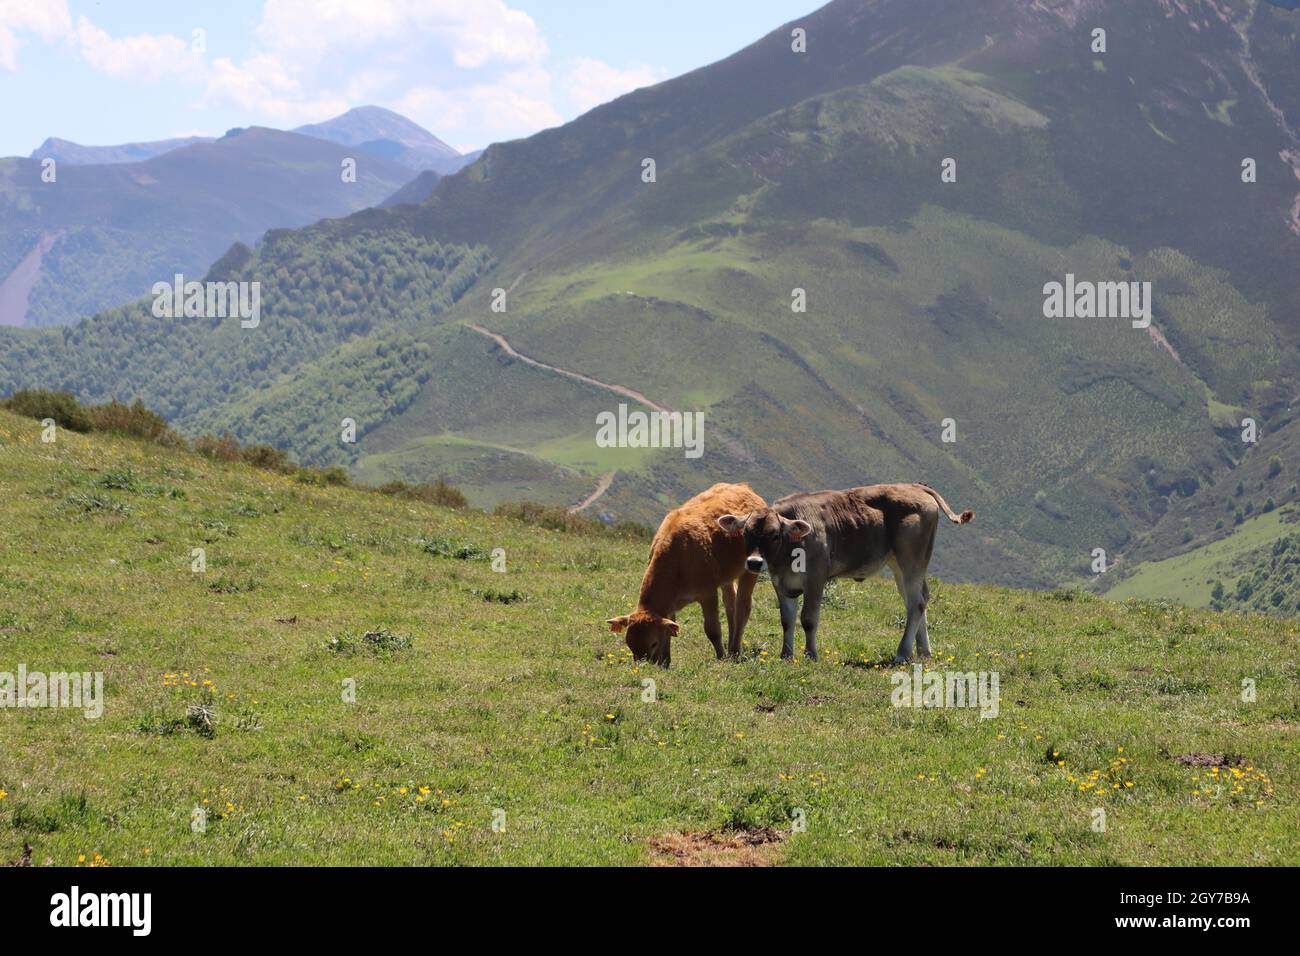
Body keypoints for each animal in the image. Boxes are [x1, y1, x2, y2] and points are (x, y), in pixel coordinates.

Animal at [606, 482, 766, 666]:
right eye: (629, 643)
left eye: (653, 643)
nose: (645, 666)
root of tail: (742, 486)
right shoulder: (669, 604)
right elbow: (670, 628)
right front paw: (665, 662)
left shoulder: (708, 593)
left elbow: (712, 630)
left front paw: (720, 657)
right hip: (727, 575)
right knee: (730, 604)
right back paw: (732, 647)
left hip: (750, 569)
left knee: (742, 608)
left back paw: (733, 651)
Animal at [717, 483, 972, 664]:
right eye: (746, 533)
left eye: (774, 535)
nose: (754, 562)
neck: (787, 556)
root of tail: (915, 486)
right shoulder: (781, 583)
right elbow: (786, 620)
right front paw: (786, 656)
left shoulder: (815, 579)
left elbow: (808, 619)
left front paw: (811, 655)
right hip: (899, 565)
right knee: (918, 600)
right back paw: (923, 651)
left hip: (912, 560)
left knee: (917, 603)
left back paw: (902, 653)